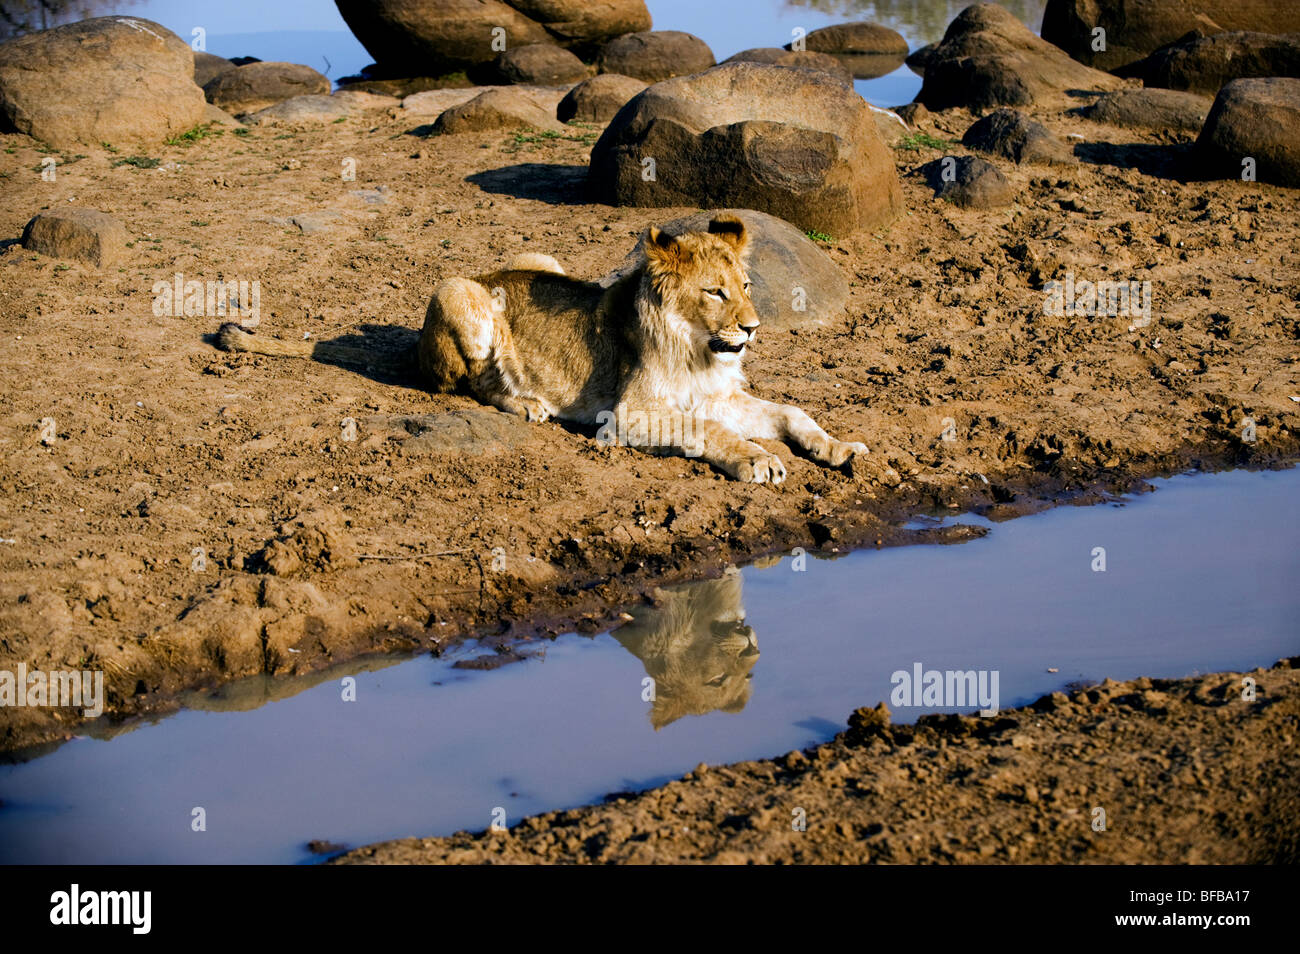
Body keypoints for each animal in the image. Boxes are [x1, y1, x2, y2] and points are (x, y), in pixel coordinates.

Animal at [215, 215, 866, 483]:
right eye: (715, 291)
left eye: (748, 287)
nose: (754, 328)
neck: (701, 347)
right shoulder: (627, 417)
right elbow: (711, 433)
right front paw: (756, 459)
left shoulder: (720, 396)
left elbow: (790, 413)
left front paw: (838, 448)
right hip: (460, 294)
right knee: (468, 385)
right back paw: (527, 403)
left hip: (543, 259)